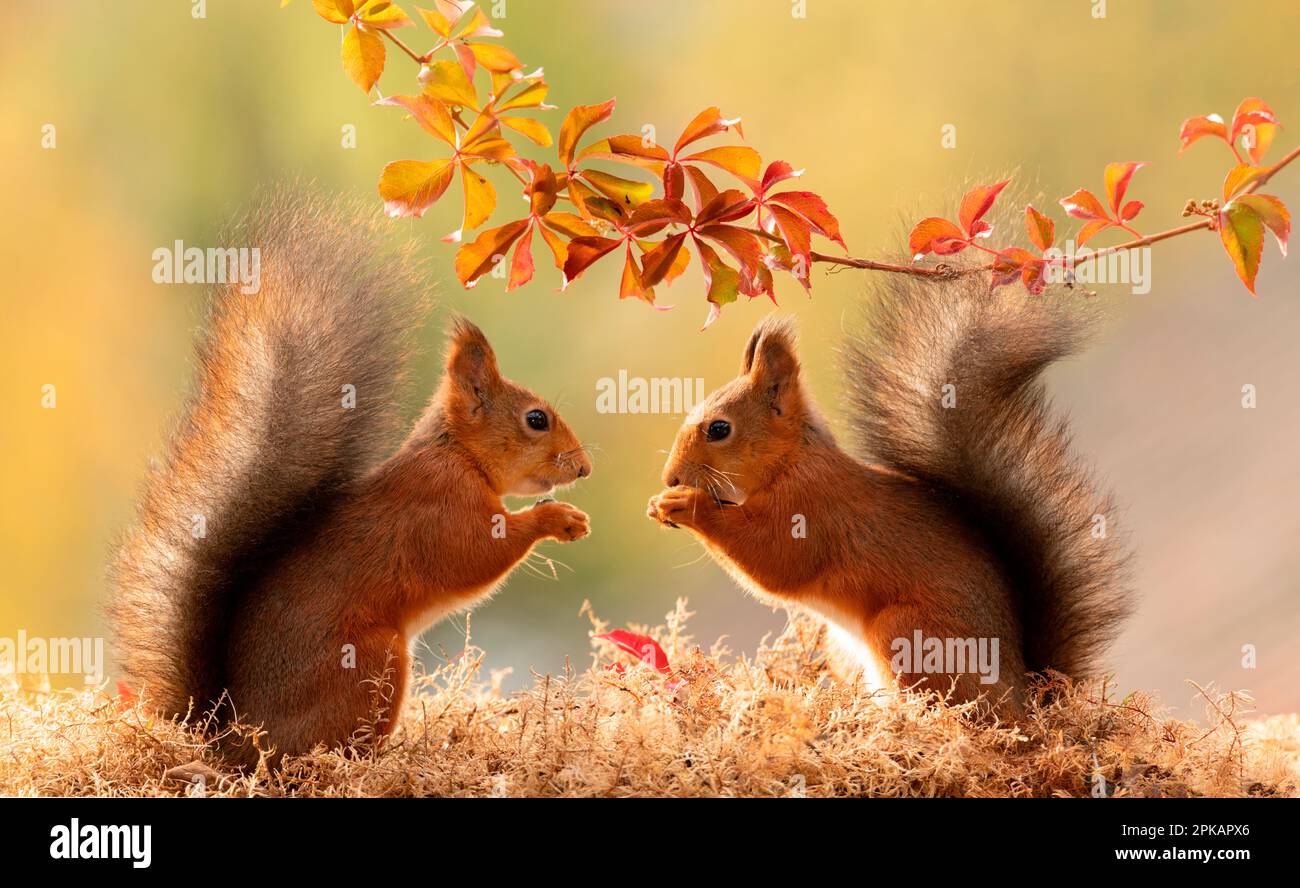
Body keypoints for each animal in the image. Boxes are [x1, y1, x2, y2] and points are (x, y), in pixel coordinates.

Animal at [109, 190, 592, 767]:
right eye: (536, 419)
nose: (584, 468)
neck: (458, 456)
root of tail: (231, 738)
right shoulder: (439, 508)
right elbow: (475, 555)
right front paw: (558, 519)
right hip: (370, 660)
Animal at [648, 274, 1132, 717]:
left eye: (719, 429)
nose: (670, 478)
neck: (790, 462)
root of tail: (1027, 701)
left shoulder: (813, 511)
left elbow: (774, 561)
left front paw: (685, 505)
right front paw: (661, 504)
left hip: (908, 633)